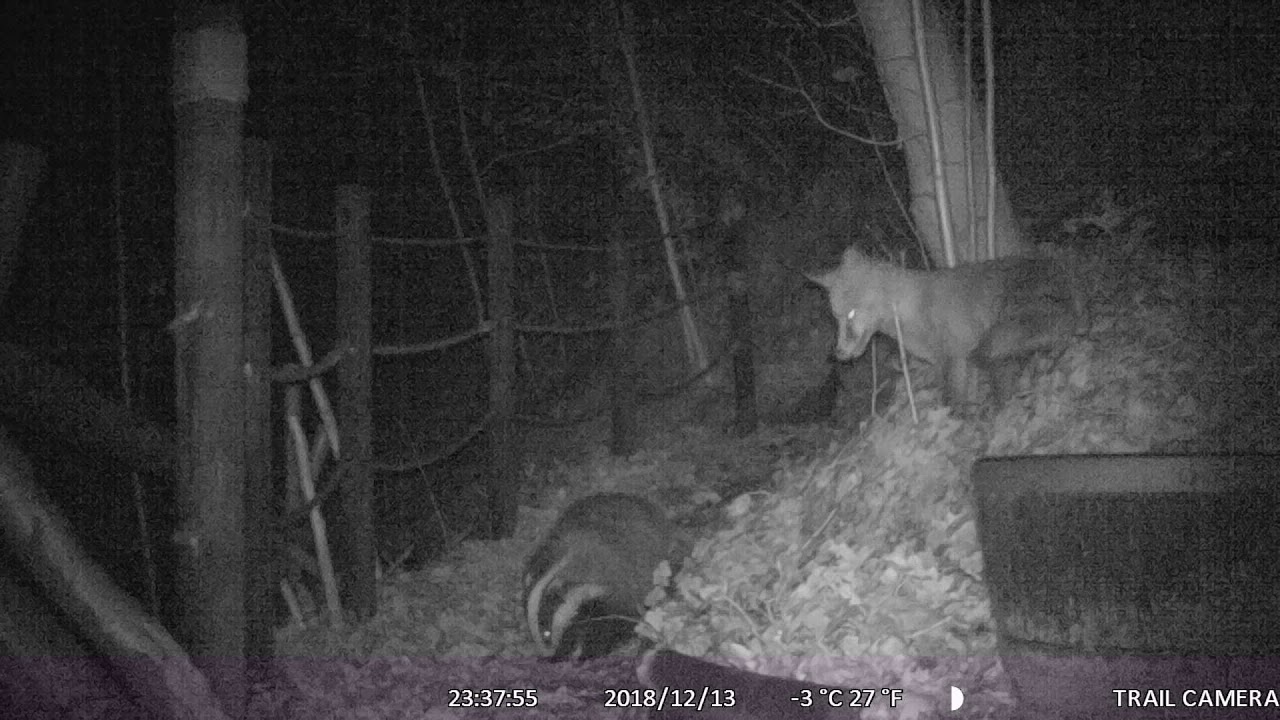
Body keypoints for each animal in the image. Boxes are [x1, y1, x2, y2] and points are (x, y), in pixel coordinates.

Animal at [807, 246, 1086, 412]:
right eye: (836, 317)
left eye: (852, 313)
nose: (838, 354)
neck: (914, 312)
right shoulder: (949, 362)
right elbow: (957, 398)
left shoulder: (957, 356)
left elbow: (953, 403)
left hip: (993, 340)